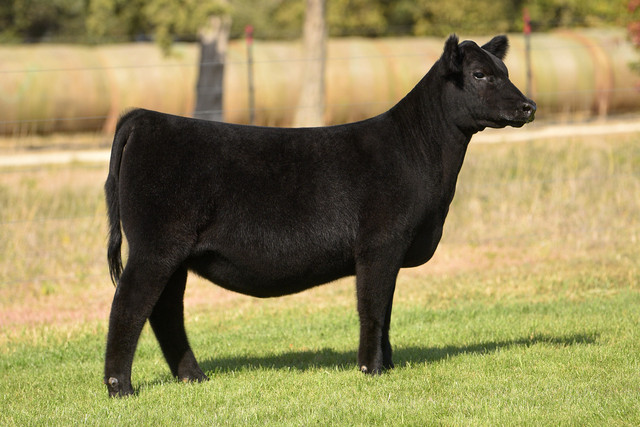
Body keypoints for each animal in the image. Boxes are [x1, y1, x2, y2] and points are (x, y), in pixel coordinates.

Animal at [103, 34, 536, 397]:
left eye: (506, 71)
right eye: (479, 74)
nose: (528, 106)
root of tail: (146, 117)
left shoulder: (394, 250)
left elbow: (387, 310)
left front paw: (388, 365)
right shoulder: (380, 244)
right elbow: (372, 308)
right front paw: (370, 369)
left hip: (175, 255)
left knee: (165, 312)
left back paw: (193, 377)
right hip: (156, 247)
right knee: (129, 306)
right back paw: (120, 388)